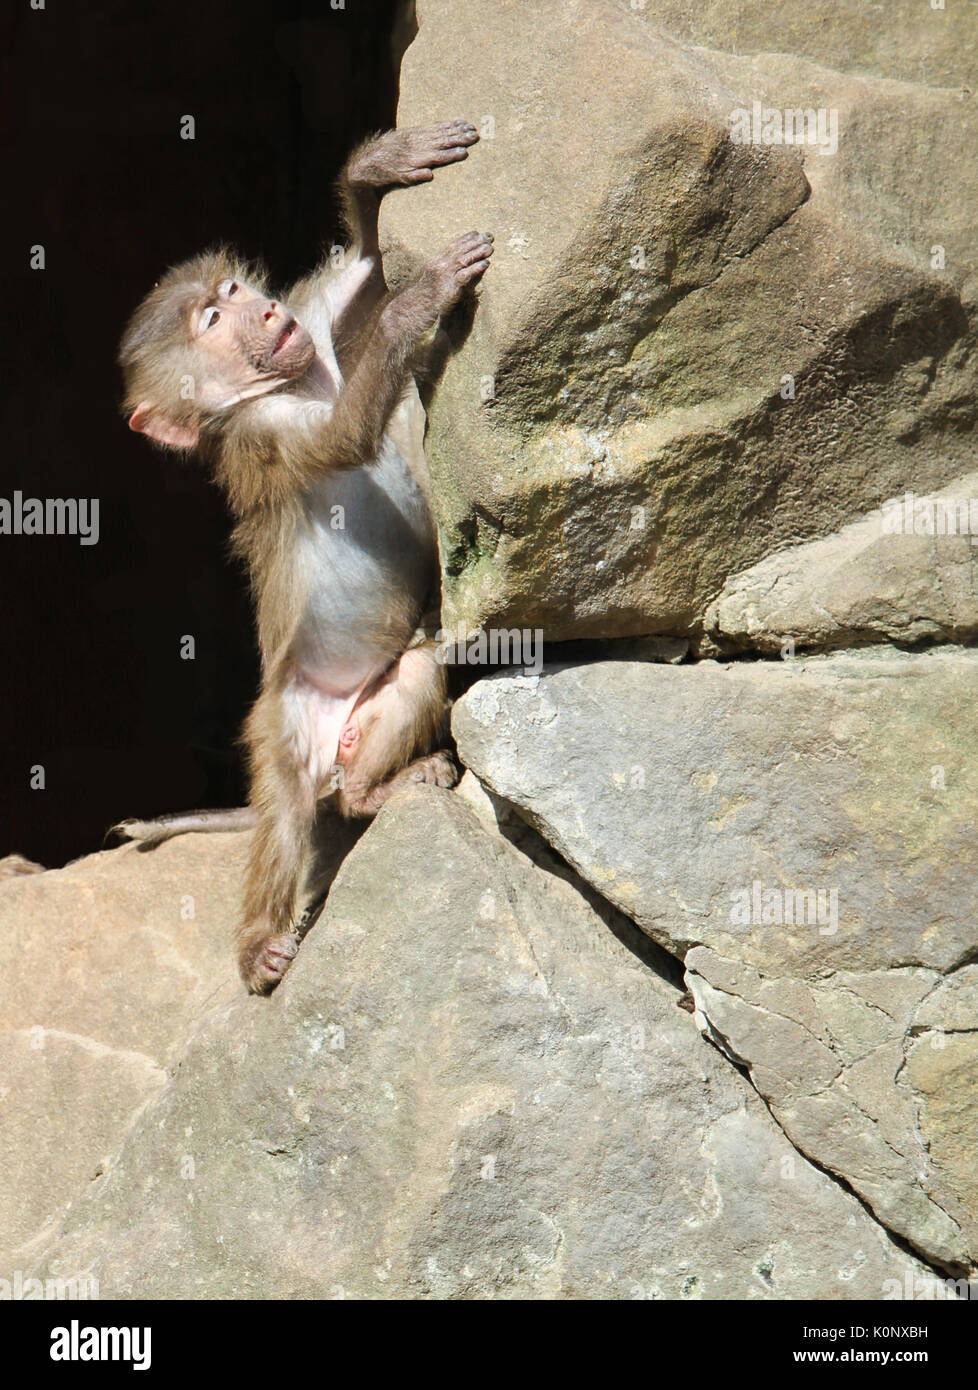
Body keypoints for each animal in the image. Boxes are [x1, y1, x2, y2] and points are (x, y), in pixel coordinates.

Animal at [118, 121, 493, 994]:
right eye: (210, 321)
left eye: (229, 291)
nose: (260, 309)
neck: (287, 387)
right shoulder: (264, 440)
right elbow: (346, 437)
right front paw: (416, 305)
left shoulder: (315, 340)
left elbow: (358, 276)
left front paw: (378, 170)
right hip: (281, 724)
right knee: (287, 818)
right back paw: (261, 945)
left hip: (366, 711)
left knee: (413, 676)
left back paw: (379, 787)